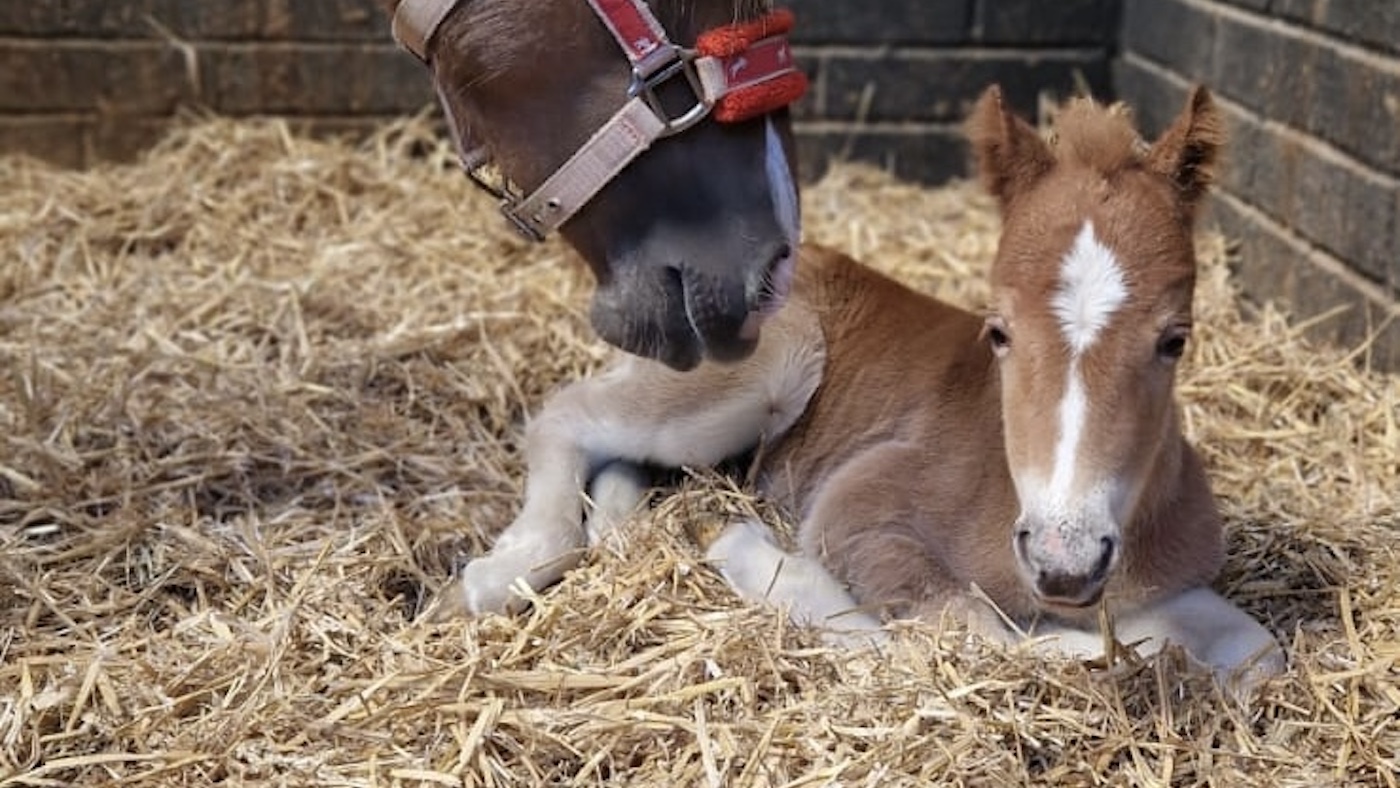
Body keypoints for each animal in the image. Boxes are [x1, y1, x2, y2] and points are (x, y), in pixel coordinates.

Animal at [431, 84, 1286, 685]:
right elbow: (968, 638)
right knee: (565, 416)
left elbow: (1251, 651)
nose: (1062, 562)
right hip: (758, 376)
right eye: (998, 332)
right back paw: (504, 571)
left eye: (1175, 340)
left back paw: (620, 524)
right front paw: (758, 557)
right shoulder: (864, 507)